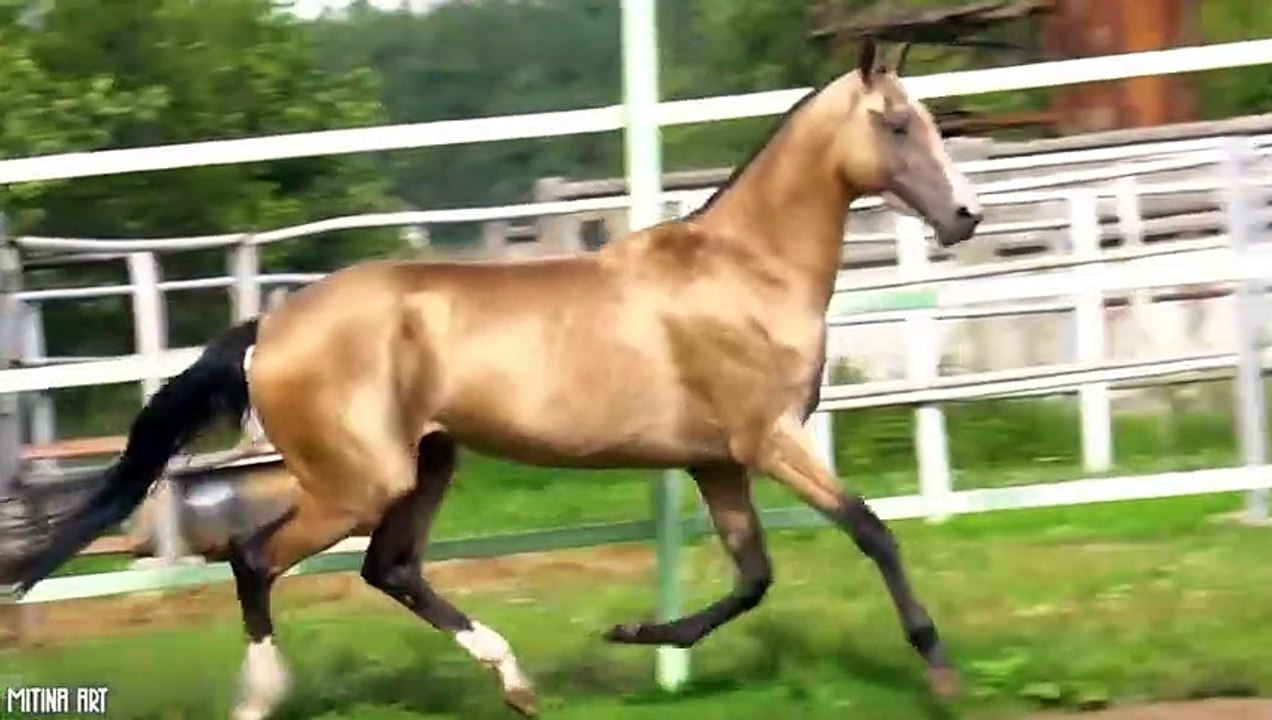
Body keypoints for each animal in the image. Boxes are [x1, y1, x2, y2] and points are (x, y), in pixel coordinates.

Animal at [1, 38, 981, 720]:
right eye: (898, 125)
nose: (966, 217)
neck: (745, 271)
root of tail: (267, 327)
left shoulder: (716, 460)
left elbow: (752, 577)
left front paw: (636, 635)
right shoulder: (767, 439)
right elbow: (870, 530)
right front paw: (938, 669)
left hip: (425, 466)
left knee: (389, 569)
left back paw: (515, 682)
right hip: (357, 483)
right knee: (254, 558)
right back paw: (262, 693)